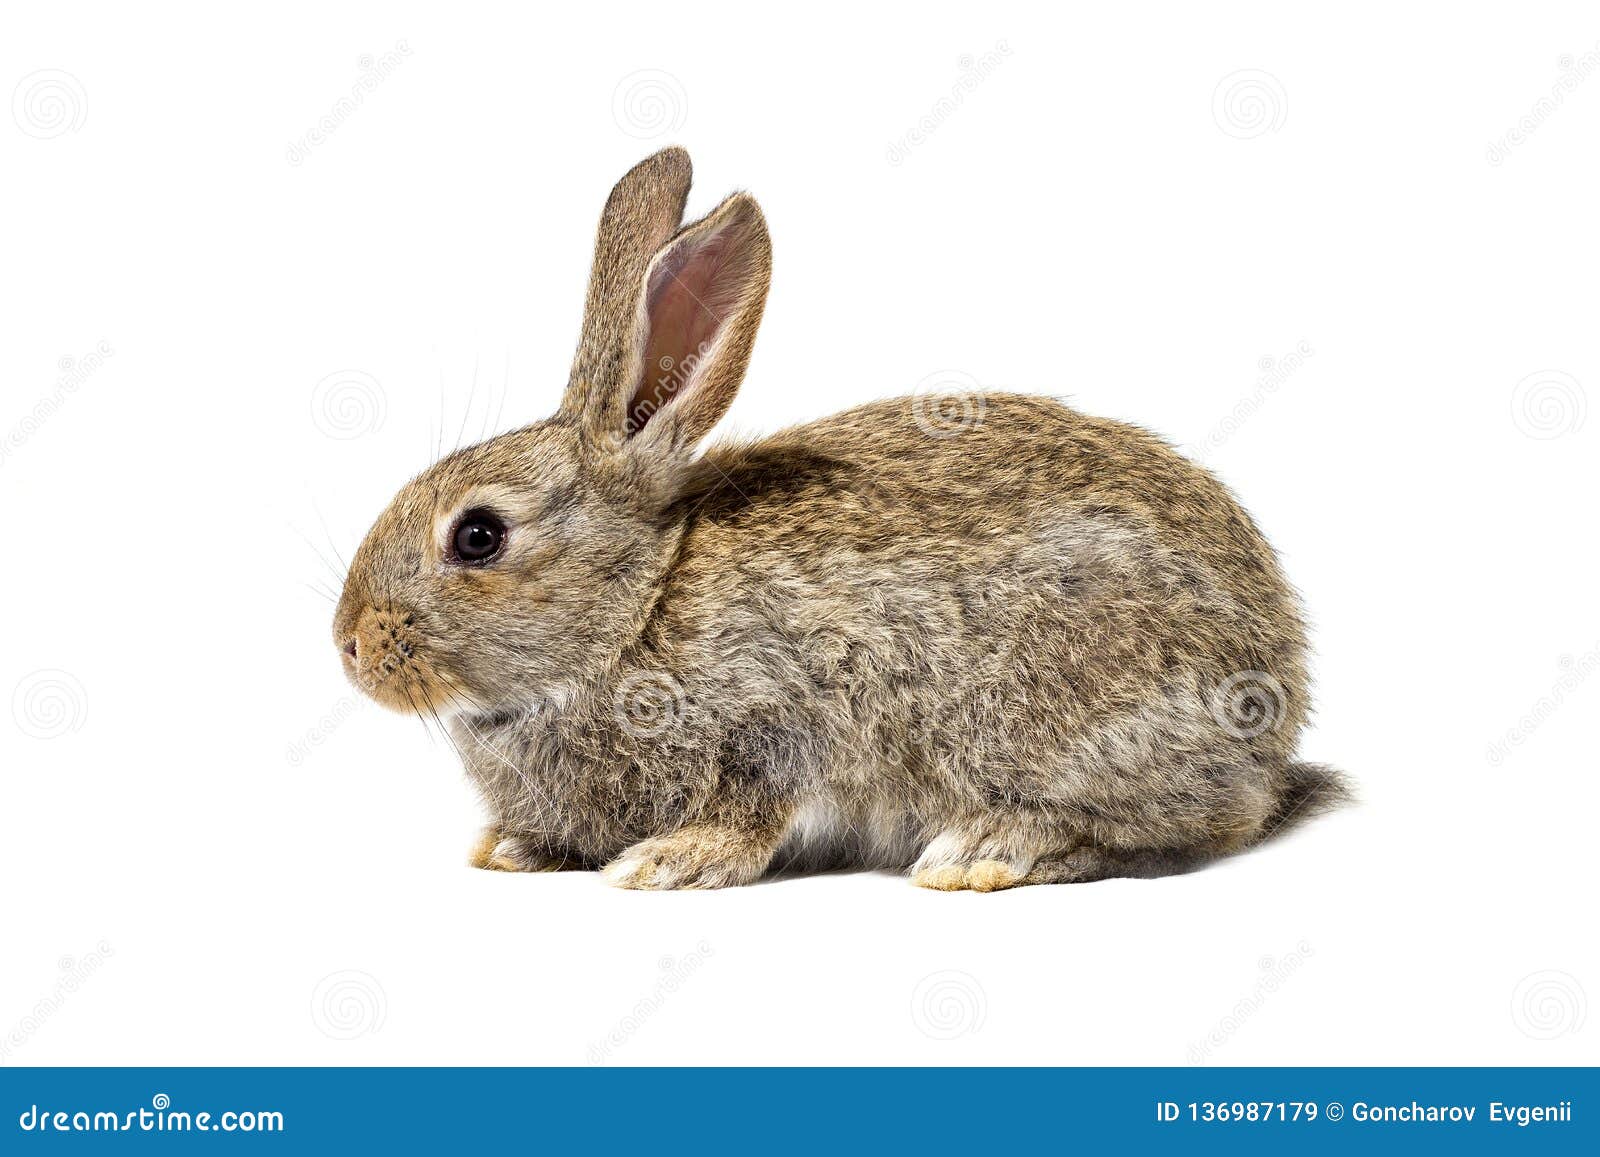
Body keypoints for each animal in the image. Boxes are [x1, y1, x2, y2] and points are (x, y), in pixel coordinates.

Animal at [332, 147, 1347, 891]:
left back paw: (984, 847)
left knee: (1186, 826)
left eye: (478, 535)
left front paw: (666, 861)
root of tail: (1279, 706)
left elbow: (755, 808)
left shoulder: (780, 719)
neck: (638, 606)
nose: (349, 646)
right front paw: (512, 848)